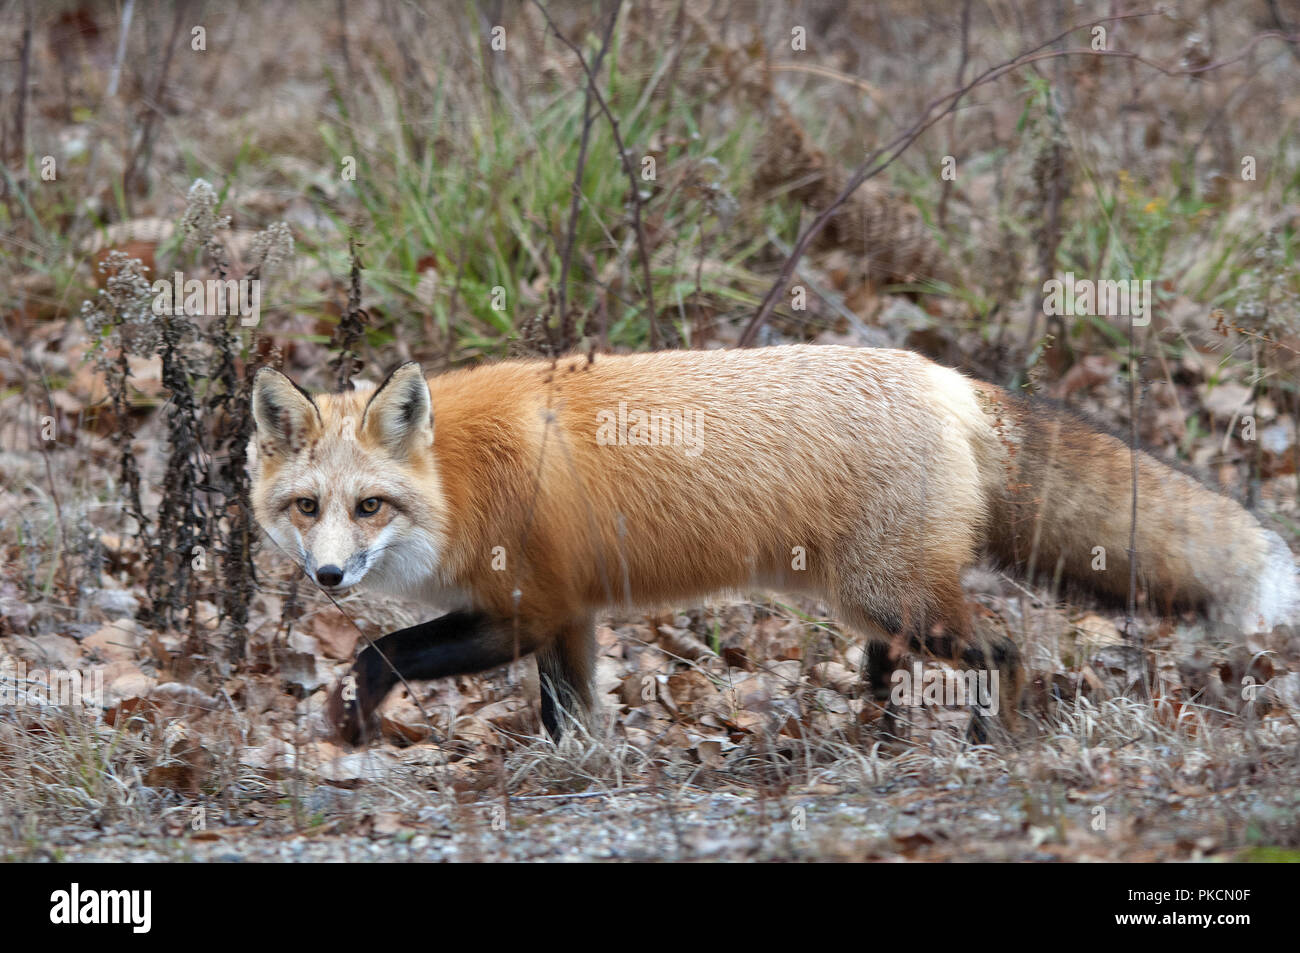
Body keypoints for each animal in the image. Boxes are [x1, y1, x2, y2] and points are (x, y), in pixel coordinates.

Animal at [248, 344, 1299, 745]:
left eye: (369, 506)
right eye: (306, 507)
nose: (329, 575)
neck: (463, 480)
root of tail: (944, 375)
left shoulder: (524, 611)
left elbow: (383, 654)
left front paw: (354, 726)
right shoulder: (569, 615)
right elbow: (569, 711)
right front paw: (581, 770)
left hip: (897, 594)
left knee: (1010, 645)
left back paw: (988, 734)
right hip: (873, 599)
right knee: (889, 662)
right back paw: (876, 728)